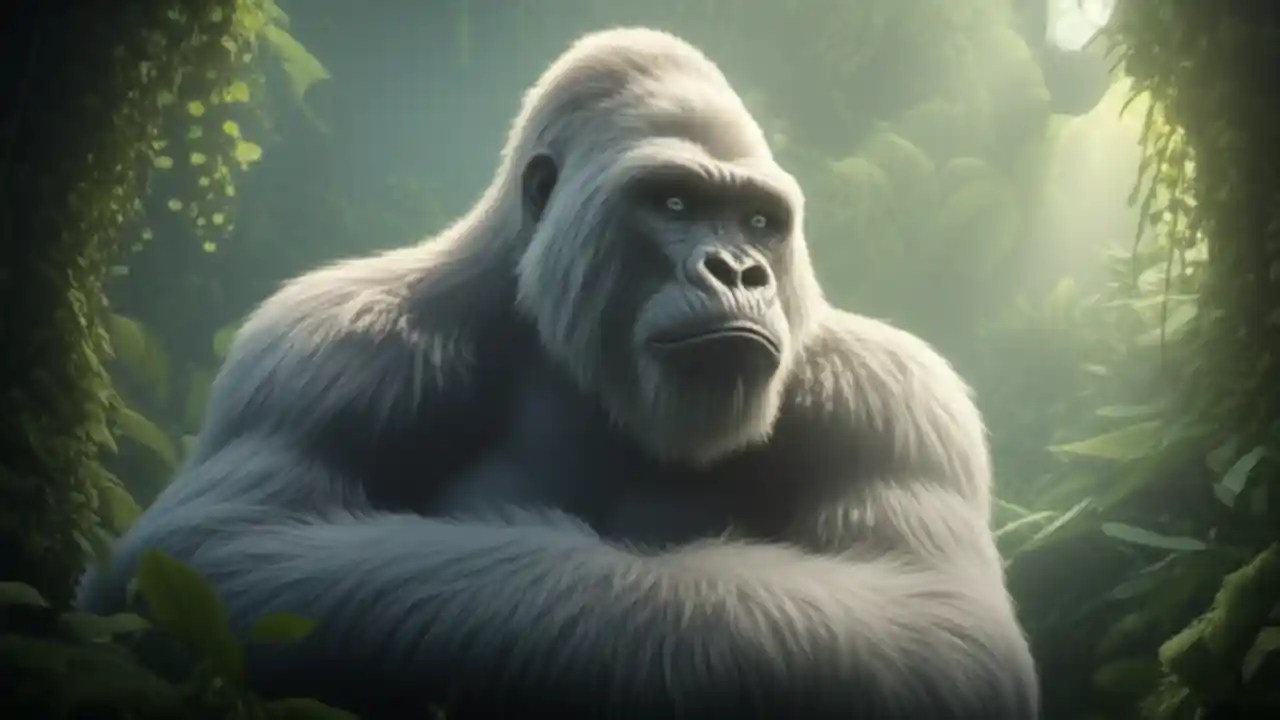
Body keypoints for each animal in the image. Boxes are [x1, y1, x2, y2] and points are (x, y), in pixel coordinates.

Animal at [78, 27, 1040, 720]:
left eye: (760, 222)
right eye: (676, 202)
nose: (738, 271)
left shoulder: (895, 398)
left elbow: (939, 625)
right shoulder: (325, 347)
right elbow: (213, 555)